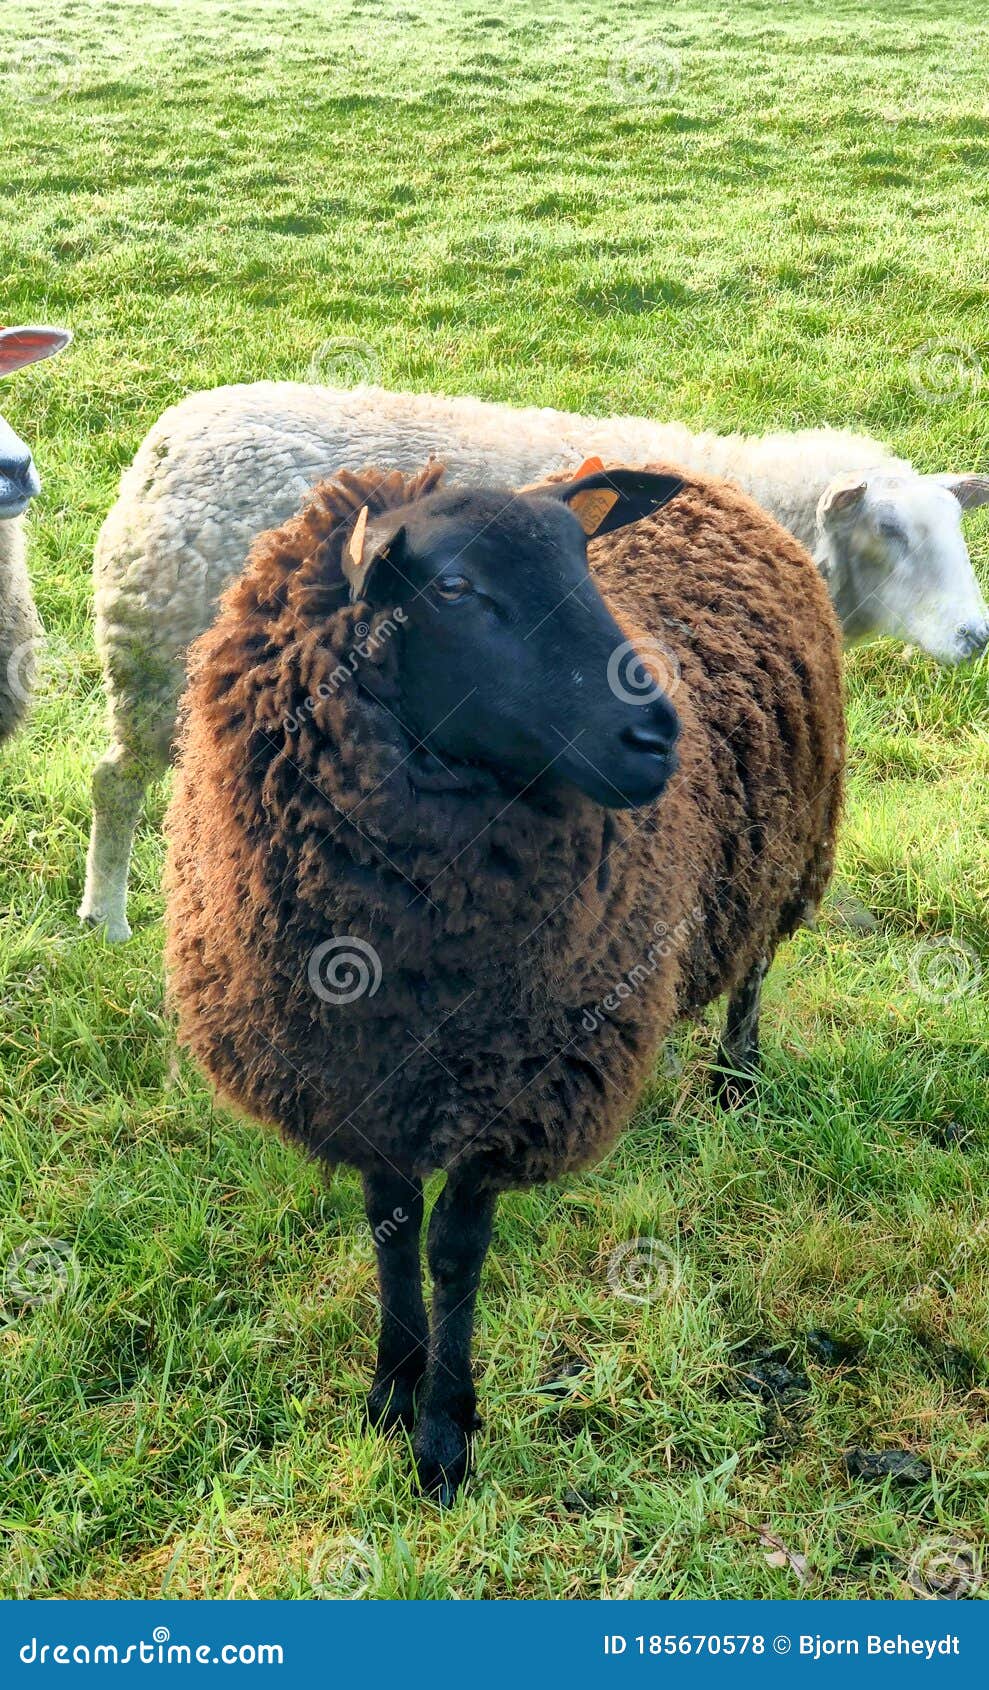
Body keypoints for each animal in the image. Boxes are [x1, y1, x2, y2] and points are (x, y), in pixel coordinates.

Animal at [82, 379, 987, 940]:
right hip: (156, 659)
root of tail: (170, 435)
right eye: (889, 531)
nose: (975, 635)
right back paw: (108, 917)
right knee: (114, 782)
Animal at [163, 456, 844, 1503]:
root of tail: (712, 482)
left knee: (755, 966)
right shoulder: (361, 1076)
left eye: (583, 564)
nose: (657, 734)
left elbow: (454, 1248)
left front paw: (444, 1435)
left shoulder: (515, 1092)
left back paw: (737, 1076)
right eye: (453, 588)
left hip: (784, 850)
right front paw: (389, 1391)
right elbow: (390, 1223)